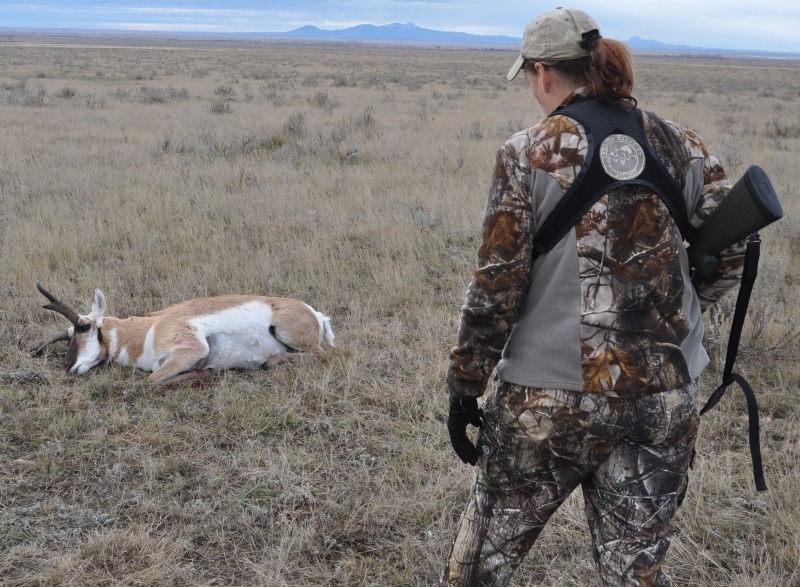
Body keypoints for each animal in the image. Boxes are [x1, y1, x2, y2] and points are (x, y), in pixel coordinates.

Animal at [31, 283, 335, 384]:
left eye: (83, 326)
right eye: (68, 335)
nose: (69, 368)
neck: (144, 330)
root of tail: (315, 313)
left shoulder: (192, 349)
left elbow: (153, 380)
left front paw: (204, 373)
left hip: (286, 332)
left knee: (323, 354)